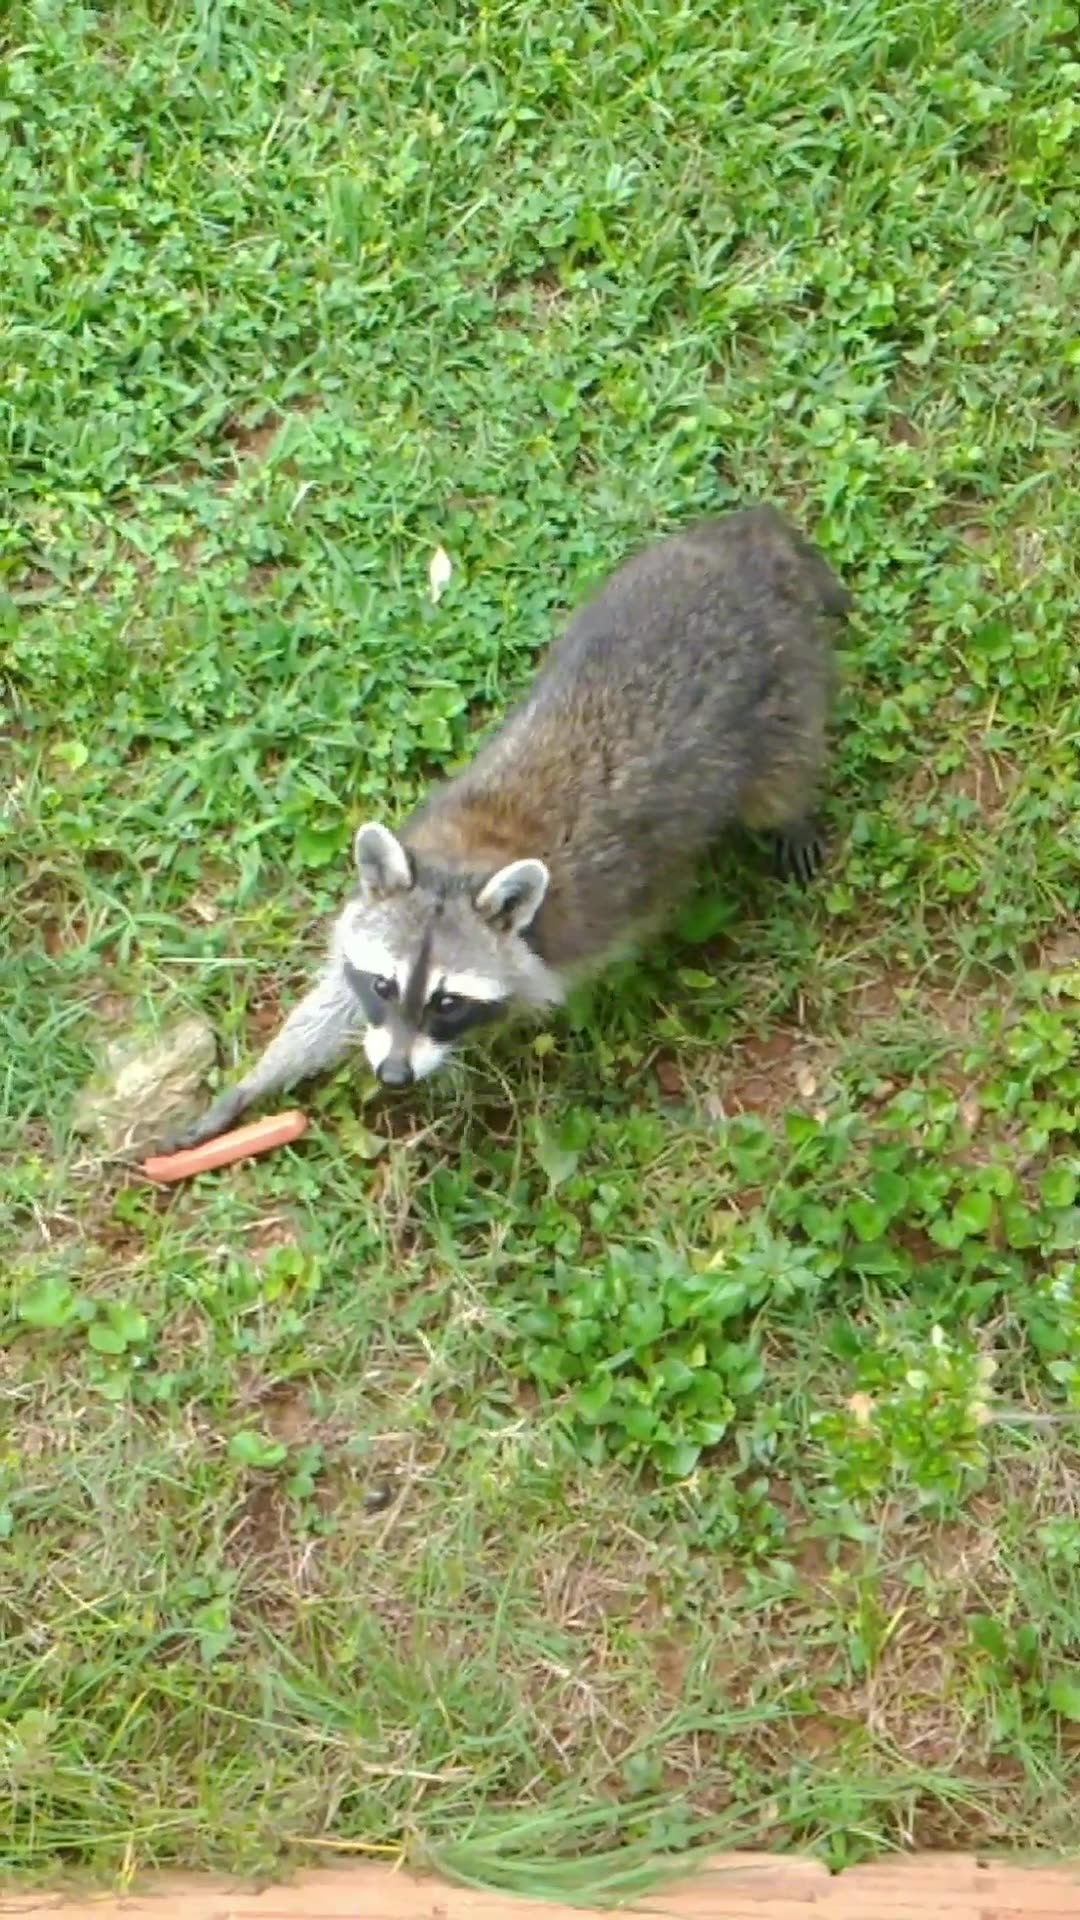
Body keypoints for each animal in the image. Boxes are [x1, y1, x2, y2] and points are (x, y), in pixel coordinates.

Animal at [167, 504, 850, 1149]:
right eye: (384, 985)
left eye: (446, 1002)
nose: (394, 1076)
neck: (466, 860)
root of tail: (747, 545)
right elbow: (333, 996)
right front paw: (256, 1080)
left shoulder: (587, 929)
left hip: (788, 681)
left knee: (781, 778)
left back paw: (790, 811)